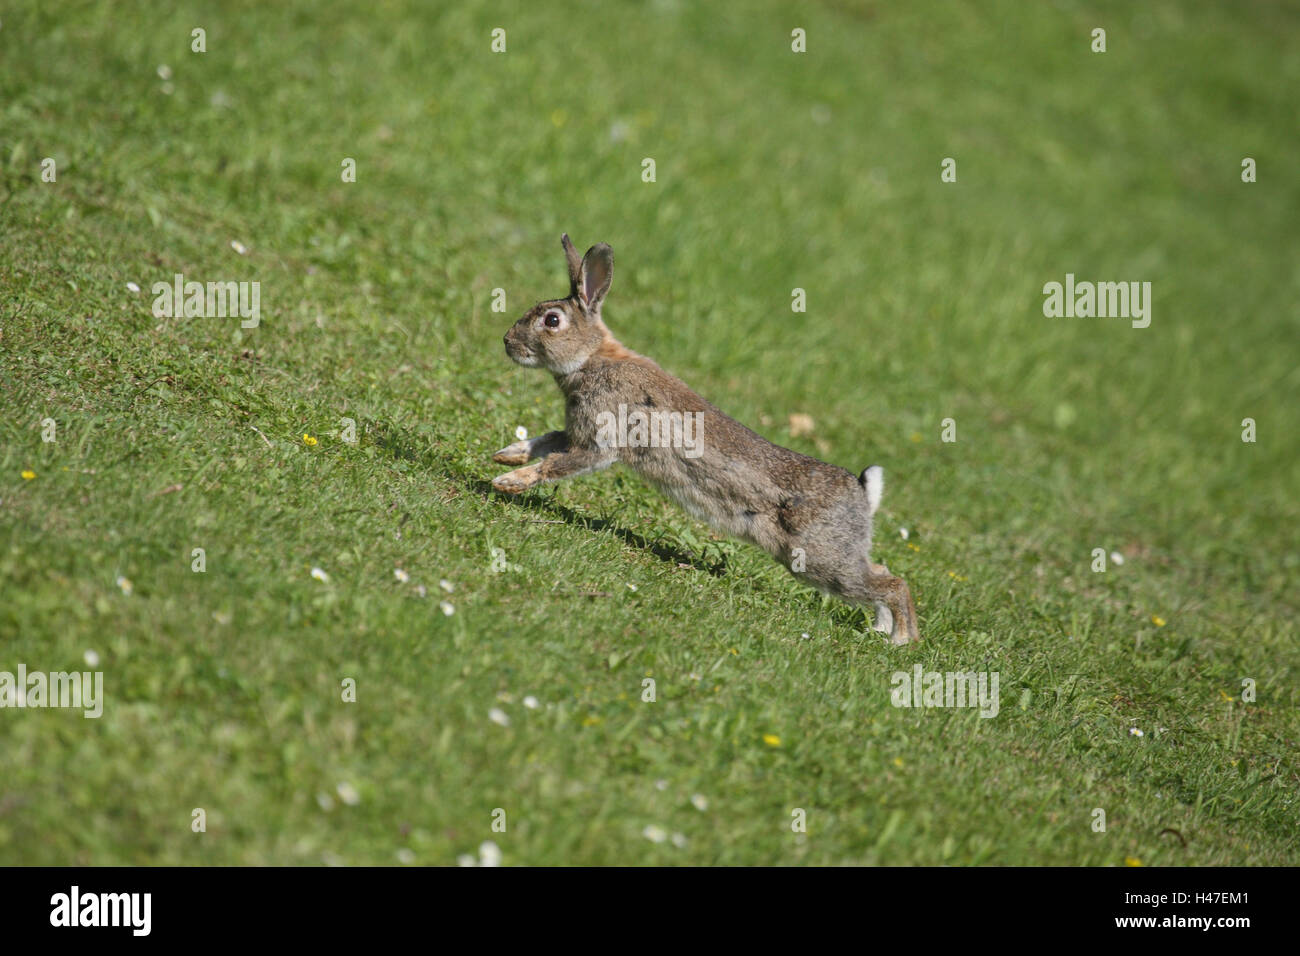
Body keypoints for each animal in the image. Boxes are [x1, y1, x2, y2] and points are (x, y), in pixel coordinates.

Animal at [491, 234, 919, 644]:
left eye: (551, 320)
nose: (507, 341)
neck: (592, 359)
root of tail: (863, 493)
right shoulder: (574, 430)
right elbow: (545, 441)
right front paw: (506, 456)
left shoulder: (600, 440)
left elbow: (555, 464)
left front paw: (508, 482)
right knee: (879, 573)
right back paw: (879, 630)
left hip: (816, 555)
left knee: (893, 584)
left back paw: (900, 640)